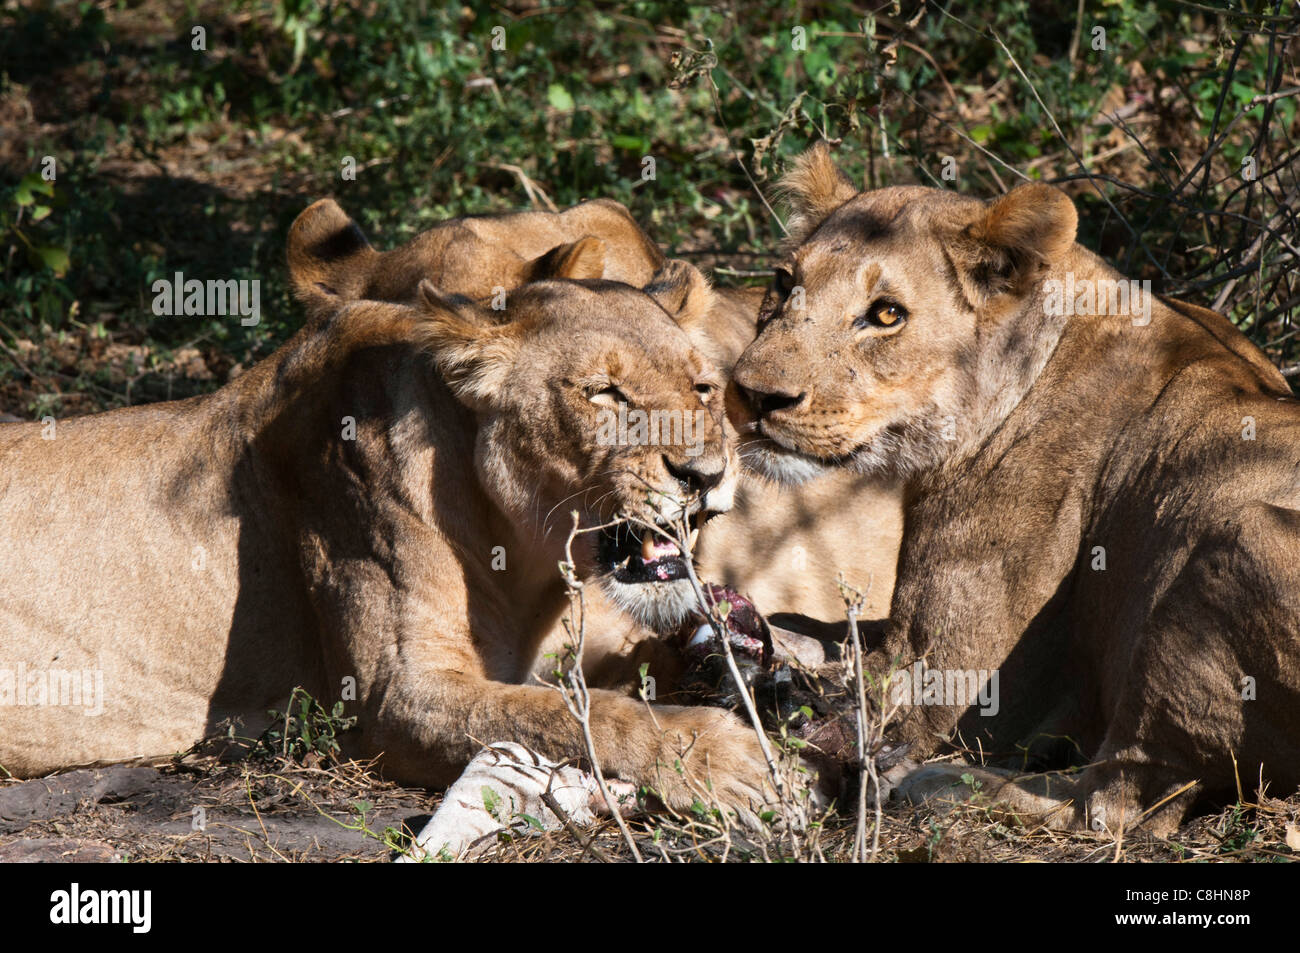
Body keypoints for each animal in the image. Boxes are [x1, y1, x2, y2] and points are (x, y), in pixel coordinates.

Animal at [0, 253, 780, 814]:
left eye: (702, 388)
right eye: (604, 394)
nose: (706, 474)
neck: (520, 558)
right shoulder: (395, 697)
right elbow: (570, 715)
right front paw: (721, 757)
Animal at [729, 142, 1300, 833]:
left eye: (887, 314)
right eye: (784, 283)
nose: (754, 395)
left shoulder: (954, 679)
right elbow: (813, 625)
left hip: (1241, 535)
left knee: (1115, 800)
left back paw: (934, 784)